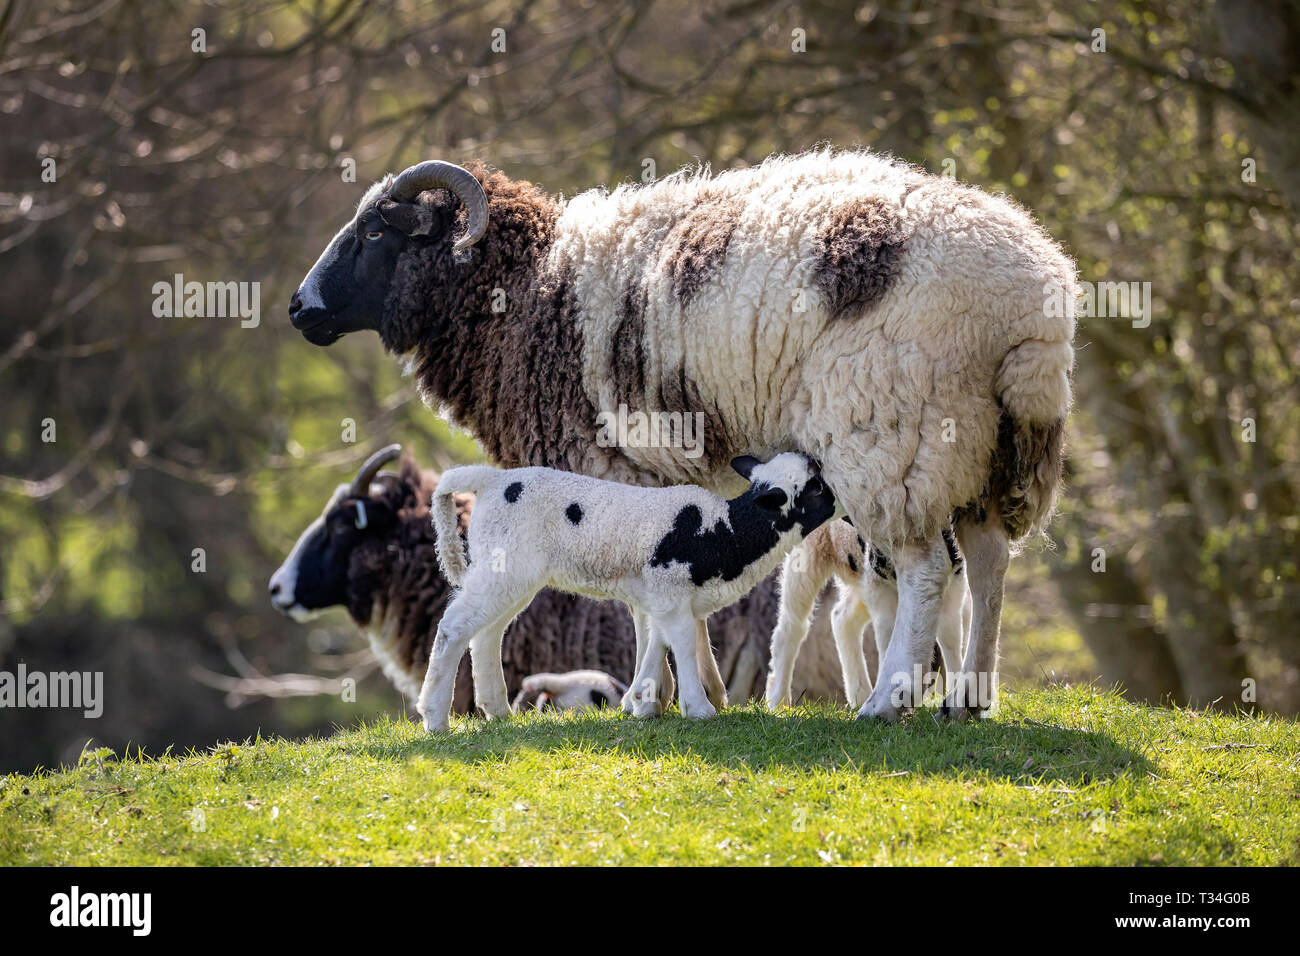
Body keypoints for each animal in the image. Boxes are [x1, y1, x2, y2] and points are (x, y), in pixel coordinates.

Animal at [418, 452, 836, 732]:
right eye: (815, 486)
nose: (837, 497)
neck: (724, 532)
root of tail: (490, 480)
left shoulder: (661, 598)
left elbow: (655, 643)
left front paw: (642, 702)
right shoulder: (671, 594)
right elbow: (683, 644)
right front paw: (698, 708)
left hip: (508, 573)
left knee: (486, 634)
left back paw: (498, 710)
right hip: (506, 570)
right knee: (454, 628)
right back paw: (435, 718)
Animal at [765, 518, 970, 710]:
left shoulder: (955, 581)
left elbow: (951, 639)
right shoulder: (880, 584)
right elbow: (888, 640)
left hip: (860, 575)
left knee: (841, 617)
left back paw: (859, 694)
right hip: (811, 553)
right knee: (791, 627)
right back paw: (778, 700)